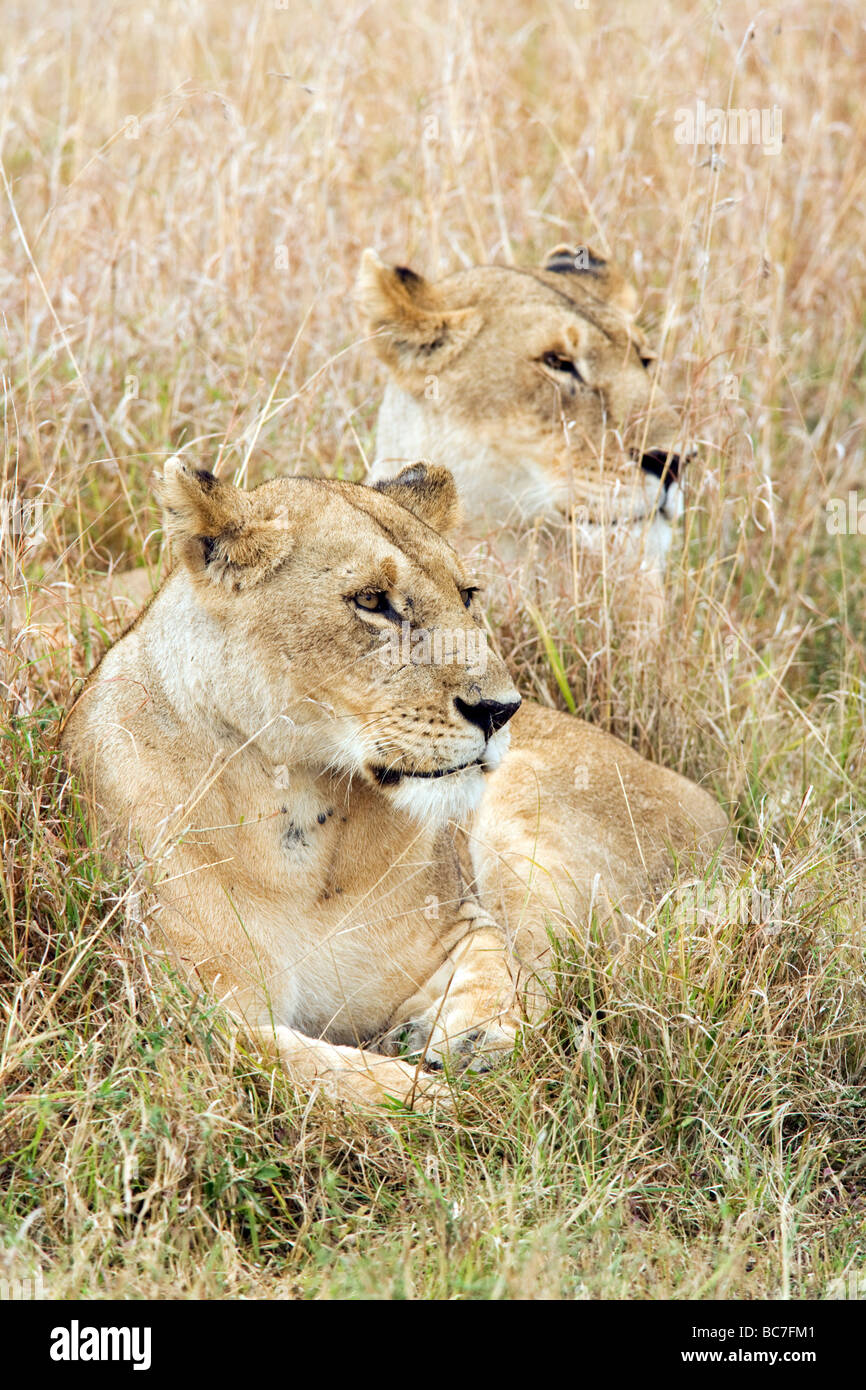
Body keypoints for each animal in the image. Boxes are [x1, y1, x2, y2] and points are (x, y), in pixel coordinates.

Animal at [61, 459, 728, 1110]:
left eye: (467, 595)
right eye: (372, 601)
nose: (500, 709)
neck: (304, 810)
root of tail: (721, 825)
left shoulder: (459, 925)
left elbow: (502, 974)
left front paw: (469, 1041)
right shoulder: (182, 1008)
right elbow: (320, 1071)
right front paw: (436, 1100)